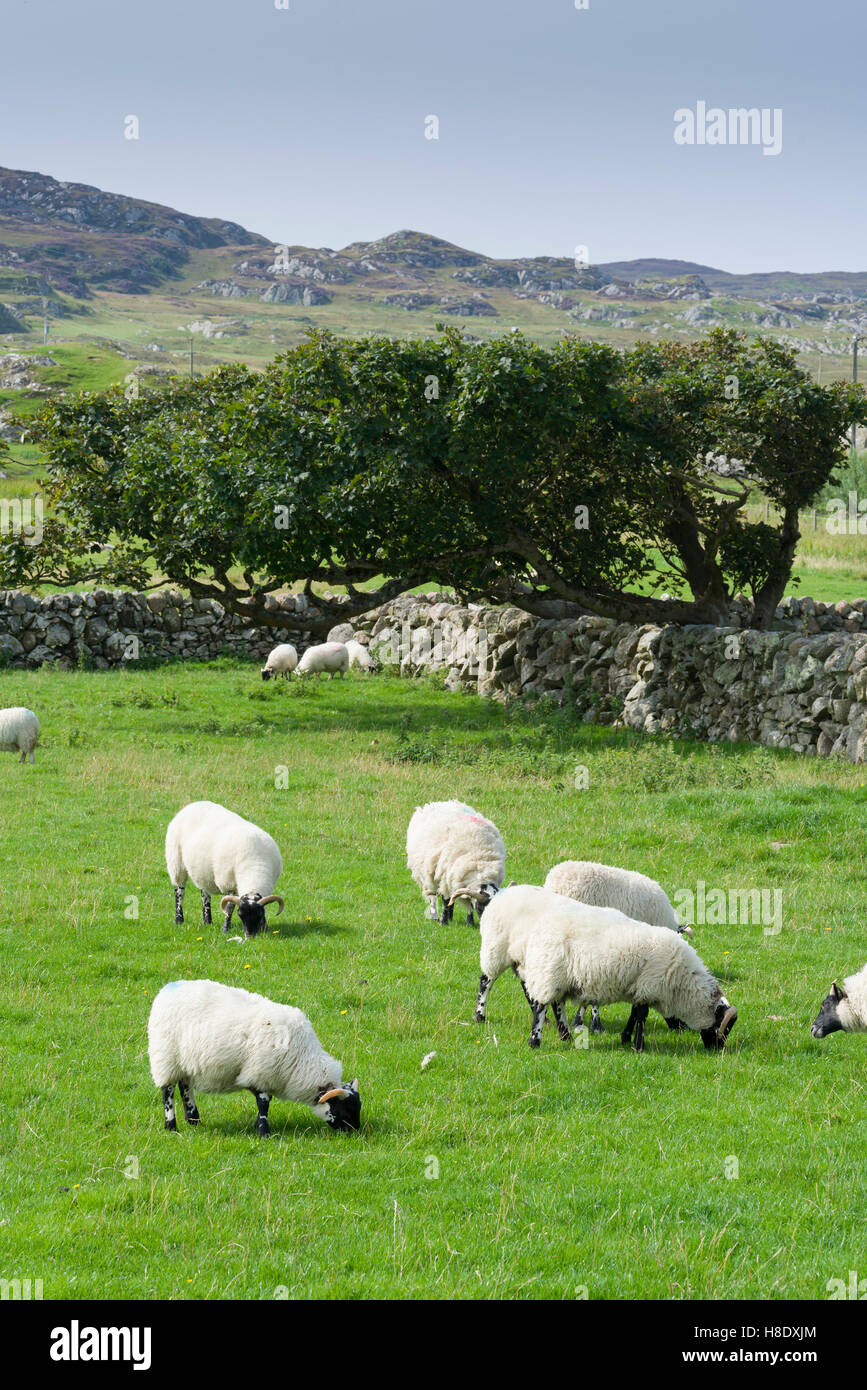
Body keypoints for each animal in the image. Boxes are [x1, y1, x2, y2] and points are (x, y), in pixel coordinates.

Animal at [148, 978, 361, 1136]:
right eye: (344, 1109)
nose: (356, 1133)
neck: (302, 1060)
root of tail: (166, 990)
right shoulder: (262, 1072)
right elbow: (264, 1104)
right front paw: (264, 1133)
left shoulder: (265, 1075)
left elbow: (264, 1104)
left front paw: (256, 1124)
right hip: (165, 1056)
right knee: (168, 1091)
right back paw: (171, 1126)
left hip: (185, 1060)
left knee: (184, 1085)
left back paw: (193, 1119)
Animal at [165, 800, 284, 939]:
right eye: (240, 914)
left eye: (259, 914)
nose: (249, 936)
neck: (254, 866)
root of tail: (194, 804)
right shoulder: (229, 883)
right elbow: (229, 908)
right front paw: (225, 929)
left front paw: (264, 927)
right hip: (176, 862)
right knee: (179, 891)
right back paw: (179, 920)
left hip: (203, 870)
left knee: (204, 895)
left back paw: (208, 921)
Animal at [406, 799, 506, 927]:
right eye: (481, 908)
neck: (480, 867)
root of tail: (438, 803)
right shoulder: (444, 876)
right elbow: (445, 901)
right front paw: (443, 922)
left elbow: (467, 902)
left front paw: (469, 923)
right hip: (428, 874)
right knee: (433, 896)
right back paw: (435, 917)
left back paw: (450, 917)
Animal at [475, 885, 737, 1053]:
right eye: (722, 1028)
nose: (717, 1050)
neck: (681, 983)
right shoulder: (649, 985)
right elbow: (641, 1016)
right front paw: (639, 1046)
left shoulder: (640, 988)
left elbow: (635, 1013)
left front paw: (626, 1038)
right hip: (506, 954)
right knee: (501, 988)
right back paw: (519, 1033)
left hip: (555, 973)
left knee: (554, 1003)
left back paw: (565, 1035)